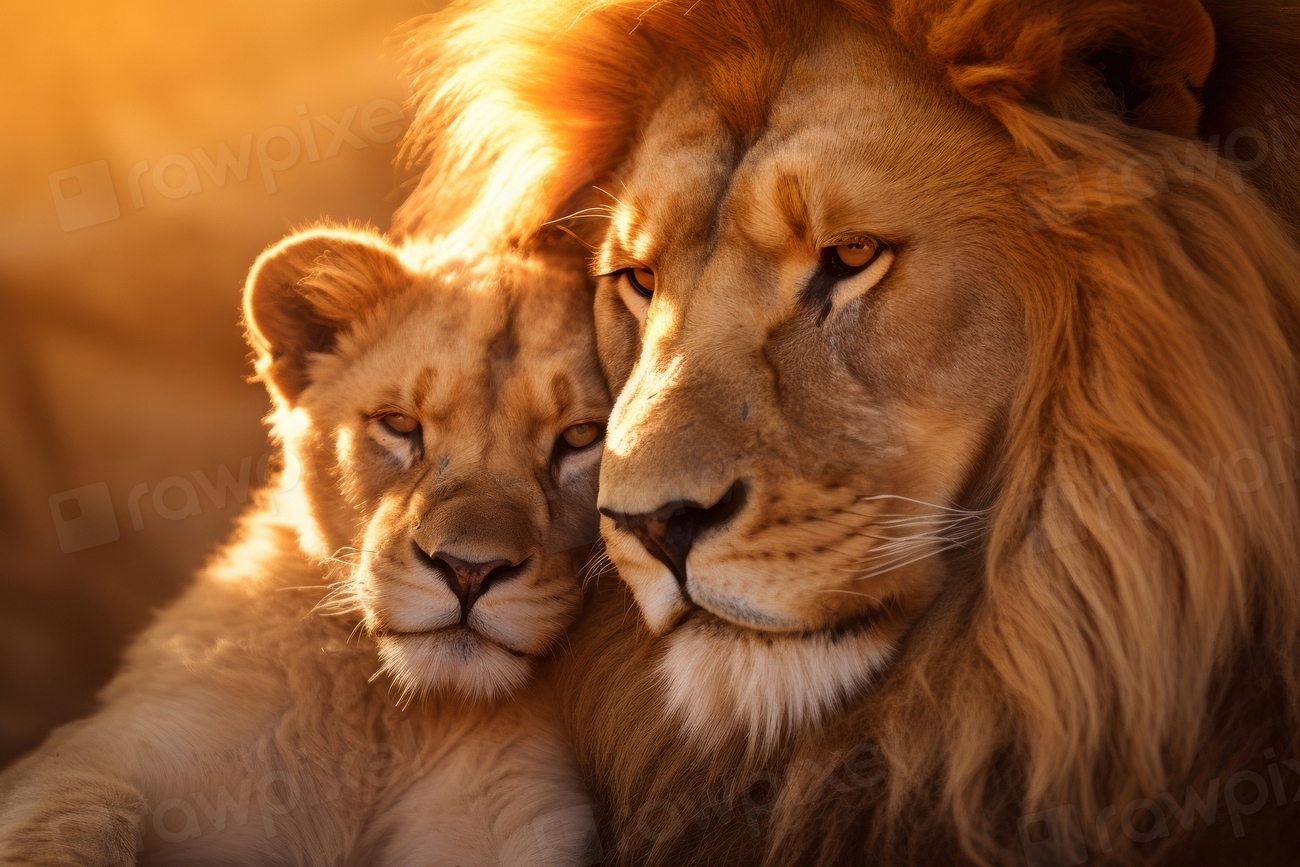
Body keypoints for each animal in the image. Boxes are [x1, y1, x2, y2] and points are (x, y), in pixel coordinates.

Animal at [0, 225, 608, 865]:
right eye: (398, 423)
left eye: (582, 437)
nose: (468, 570)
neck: (390, 715)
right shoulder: (114, 751)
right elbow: (72, 817)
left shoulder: (515, 819)